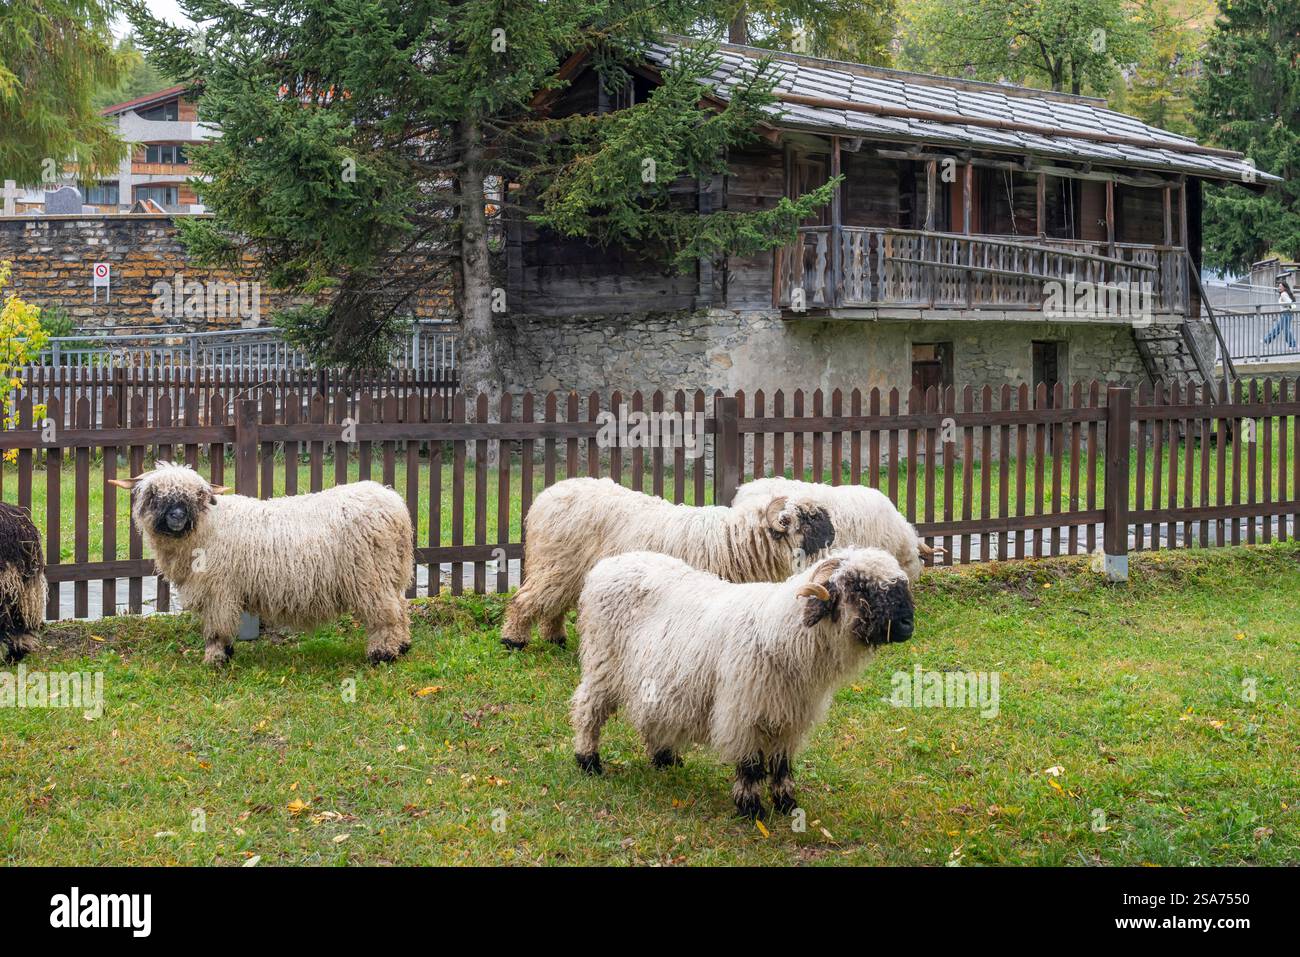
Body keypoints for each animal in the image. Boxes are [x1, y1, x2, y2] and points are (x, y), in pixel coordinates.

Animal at [110, 462, 413, 666]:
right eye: (152, 494)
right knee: (401, 609)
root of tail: (395, 504)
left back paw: (383, 654)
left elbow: (216, 628)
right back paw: (404, 646)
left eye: (197, 496)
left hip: (370, 575)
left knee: (387, 614)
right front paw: (225, 654)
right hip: (391, 572)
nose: (177, 516)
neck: (206, 527)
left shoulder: (218, 590)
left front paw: (215, 659)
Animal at [500, 476, 835, 649]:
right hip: (556, 564)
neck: (733, 540)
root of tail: (546, 495)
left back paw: (555, 637)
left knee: (552, 604)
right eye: (808, 518)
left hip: (567, 570)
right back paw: (513, 639)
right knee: (526, 599)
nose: (833, 533)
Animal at [571, 546, 914, 819]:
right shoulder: (743, 713)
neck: (784, 636)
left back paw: (665, 758)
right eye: (859, 586)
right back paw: (588, 761)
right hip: (603, 666)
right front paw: (751, 809)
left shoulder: (789, 717)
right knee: (588, 709)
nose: (907, 624)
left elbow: (781, 765)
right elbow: (750, 766)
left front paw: (786, 803)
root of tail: (608, 564)